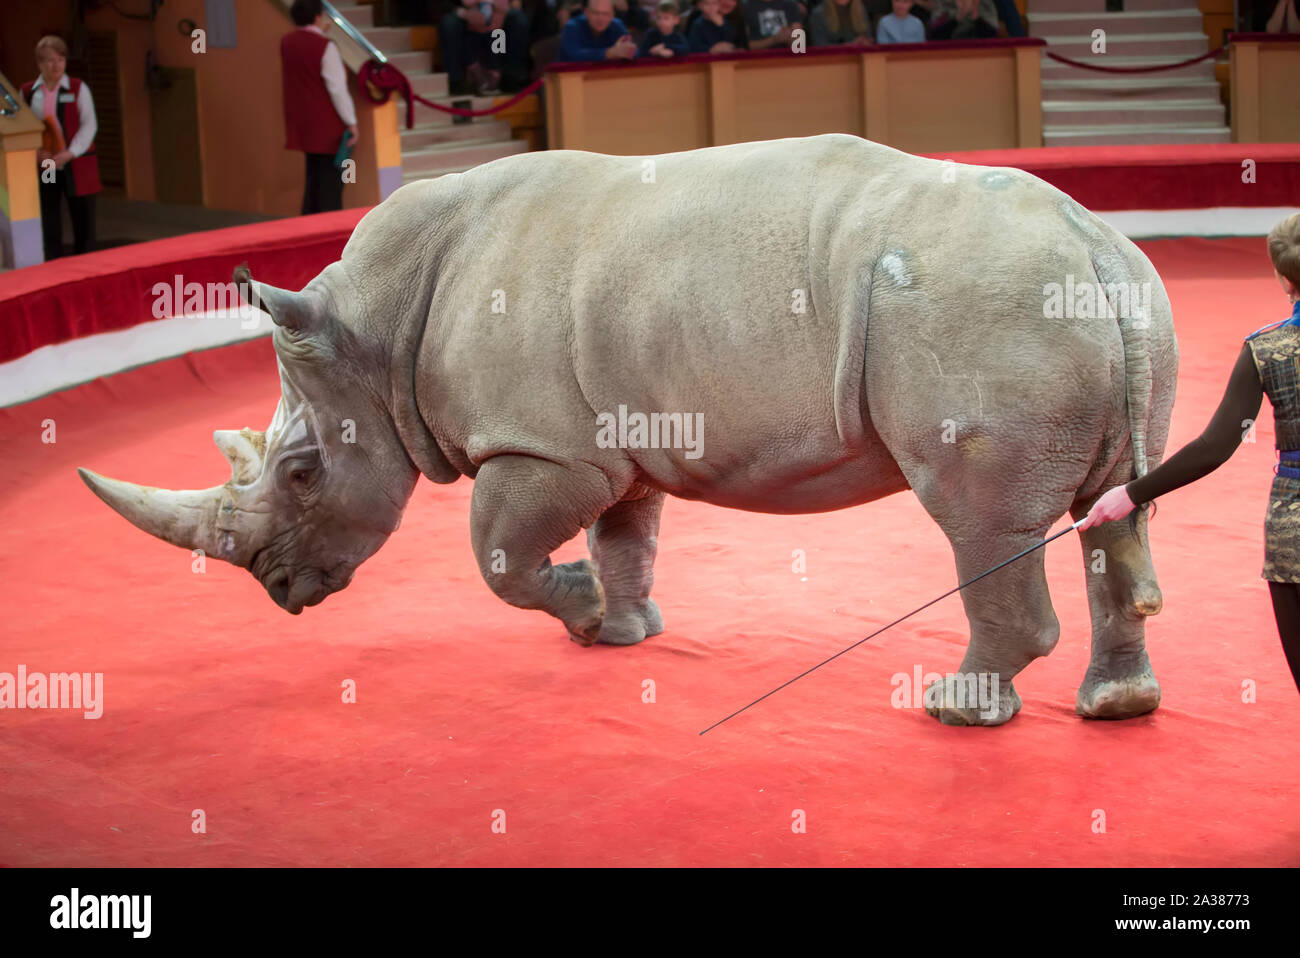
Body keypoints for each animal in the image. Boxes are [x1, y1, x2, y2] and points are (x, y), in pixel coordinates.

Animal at [78, 134, 1177, 726]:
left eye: (303, 473)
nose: (279, 591)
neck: (371, 329)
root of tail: (1093, 242)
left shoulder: (540, 445)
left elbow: (498, 555)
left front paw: (575, 611)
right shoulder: (619, 432)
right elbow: (629, 535)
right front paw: (622, 630)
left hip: (983, 306)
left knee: (981, 521)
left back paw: (955, 713)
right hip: (1121, 305)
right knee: (1111, 506)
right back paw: (1115, 707)